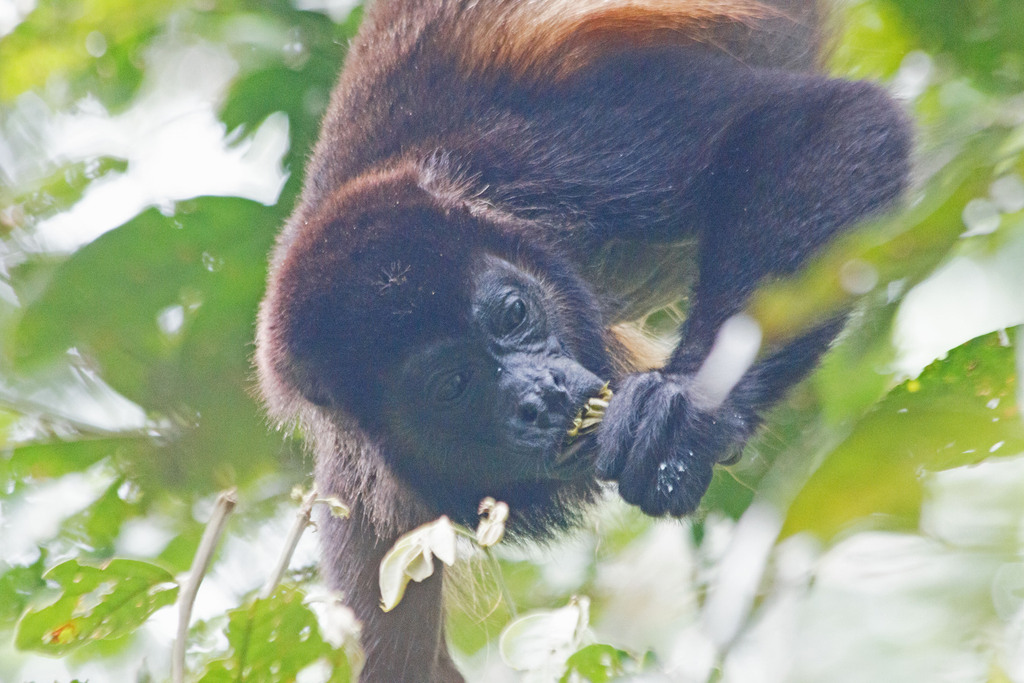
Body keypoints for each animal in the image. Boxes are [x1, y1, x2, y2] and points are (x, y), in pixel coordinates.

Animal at [254, 0, 911, 679]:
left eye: (513, 313)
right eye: (453, 385)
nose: (541, 395)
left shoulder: (552, 151)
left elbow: (821, 121)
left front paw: (684, 411)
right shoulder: (362, 507)